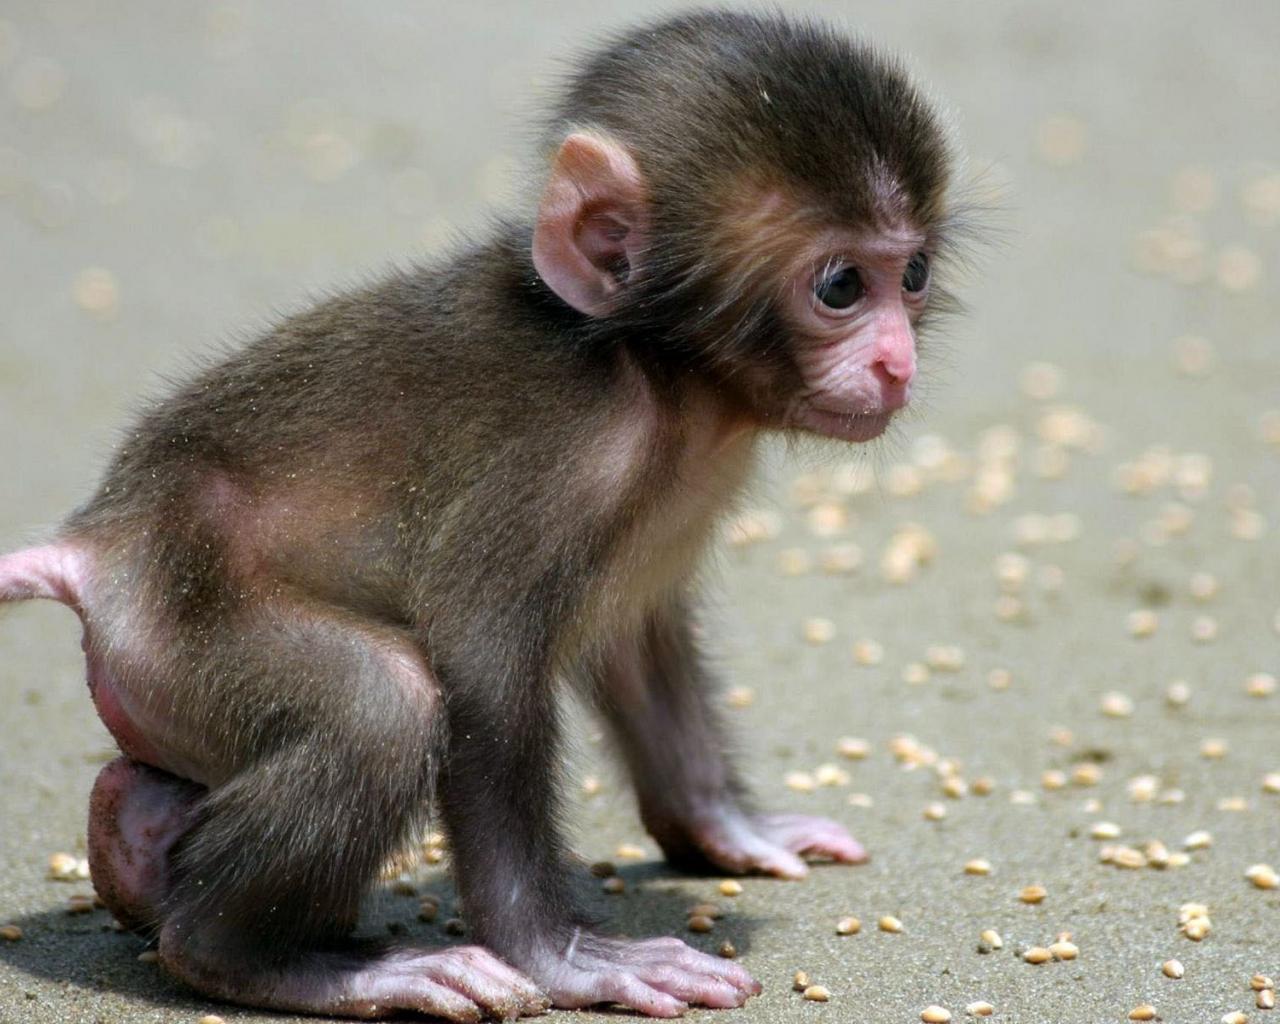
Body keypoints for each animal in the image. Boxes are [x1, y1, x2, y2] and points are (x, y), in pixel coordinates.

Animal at [0, 10, 959, 1020]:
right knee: (381, 704)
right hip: (179, 625)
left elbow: (633, 641)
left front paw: (725, 827)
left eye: (914, 274)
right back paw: (260, 959)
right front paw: (564, 959)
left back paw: (132, 845)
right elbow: (482, 671)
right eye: (842, 286)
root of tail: (99, 545)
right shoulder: (563, 462)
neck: (657, 371)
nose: (897, 362)